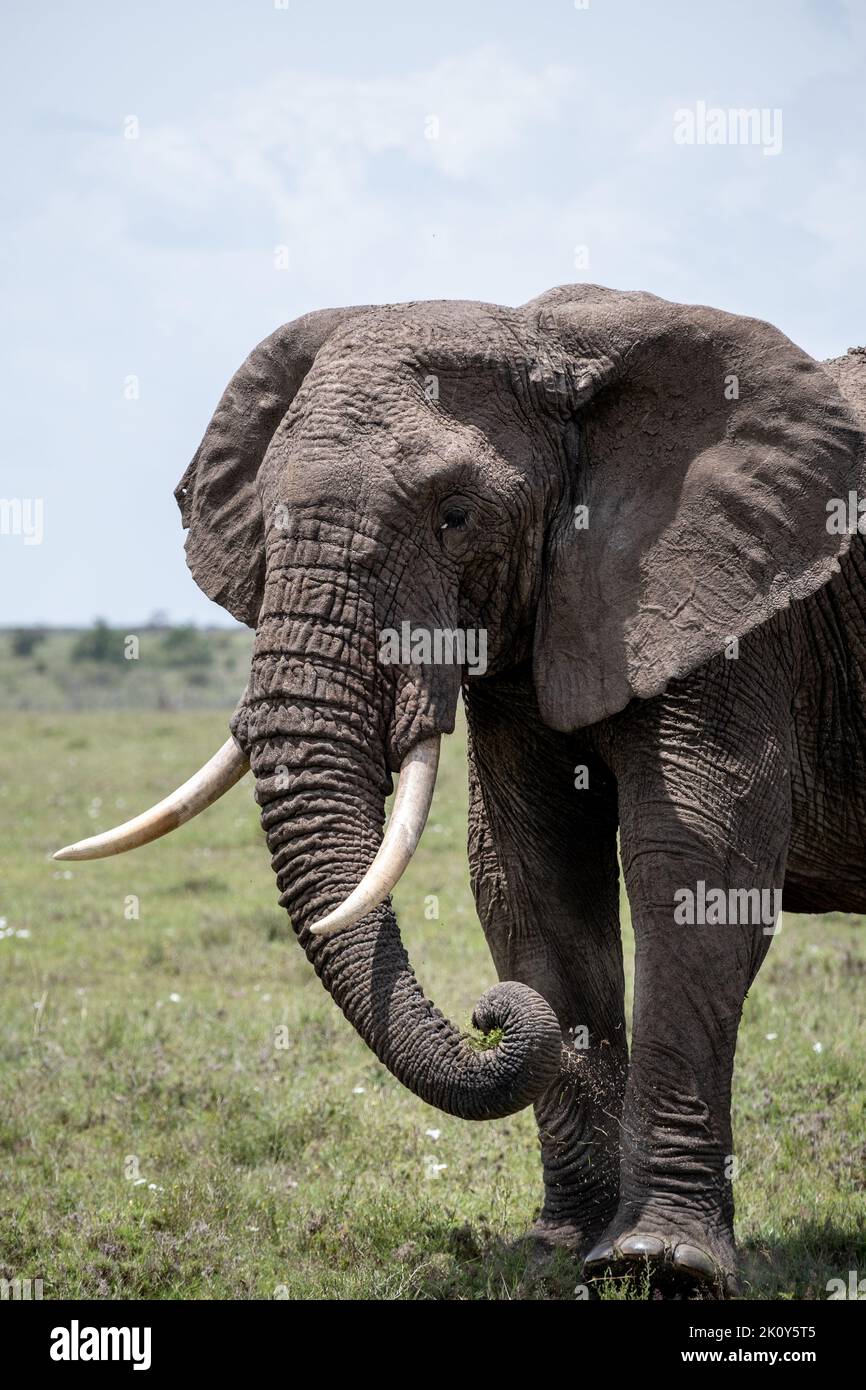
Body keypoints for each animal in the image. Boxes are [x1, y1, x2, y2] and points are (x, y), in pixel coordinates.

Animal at [56, 285, 866, 1298]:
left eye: (455, 516)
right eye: (266, 520)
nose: (488, 1012)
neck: (551, 344)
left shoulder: (727, 608)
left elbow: (697, 872)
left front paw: (660, 1265)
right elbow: (530, 876)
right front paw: (558, 1250)